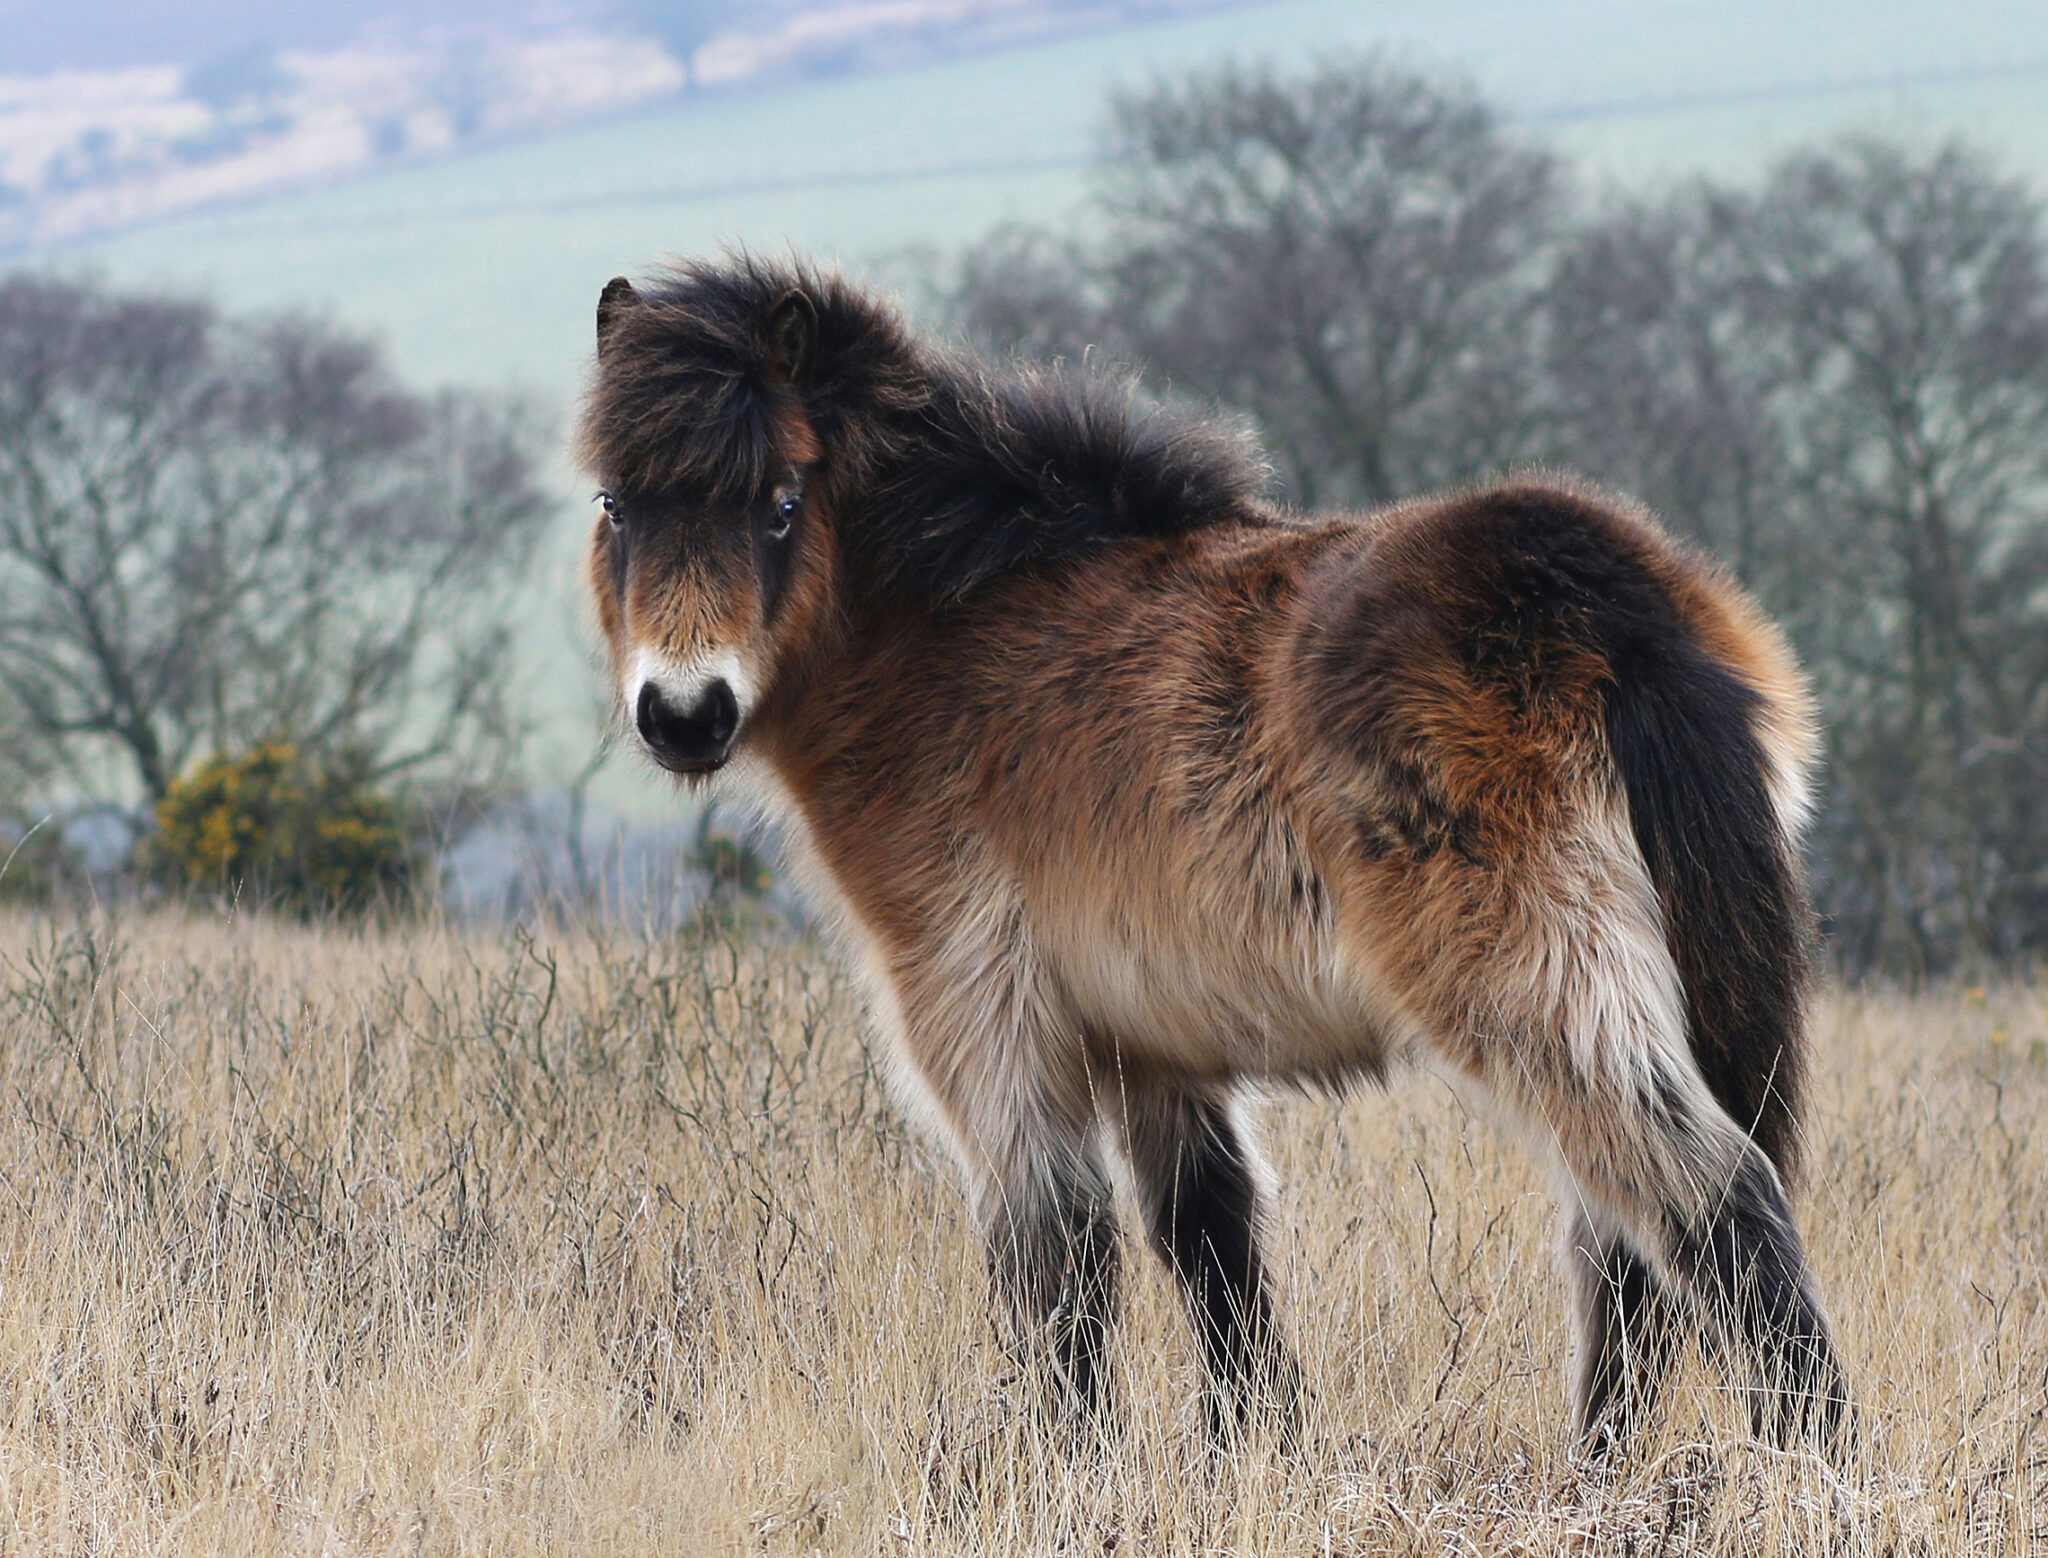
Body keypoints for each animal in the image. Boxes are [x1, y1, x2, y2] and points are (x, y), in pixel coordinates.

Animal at [577, 254, 1850, 1455]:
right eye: (614, 504)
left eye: (780, 502)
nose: (683, 713)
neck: (946, 635)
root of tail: (1610, 605)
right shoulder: (1149, 1036)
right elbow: (1211, 1244)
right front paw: (1256, 1449)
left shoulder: (984, 1019)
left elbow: (1057, 1264)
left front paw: (1073, 1470)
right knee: (1629, 1251)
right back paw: (1597, 1469)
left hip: (1532, 990)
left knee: (1710, 1200)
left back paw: (1810, 1465)